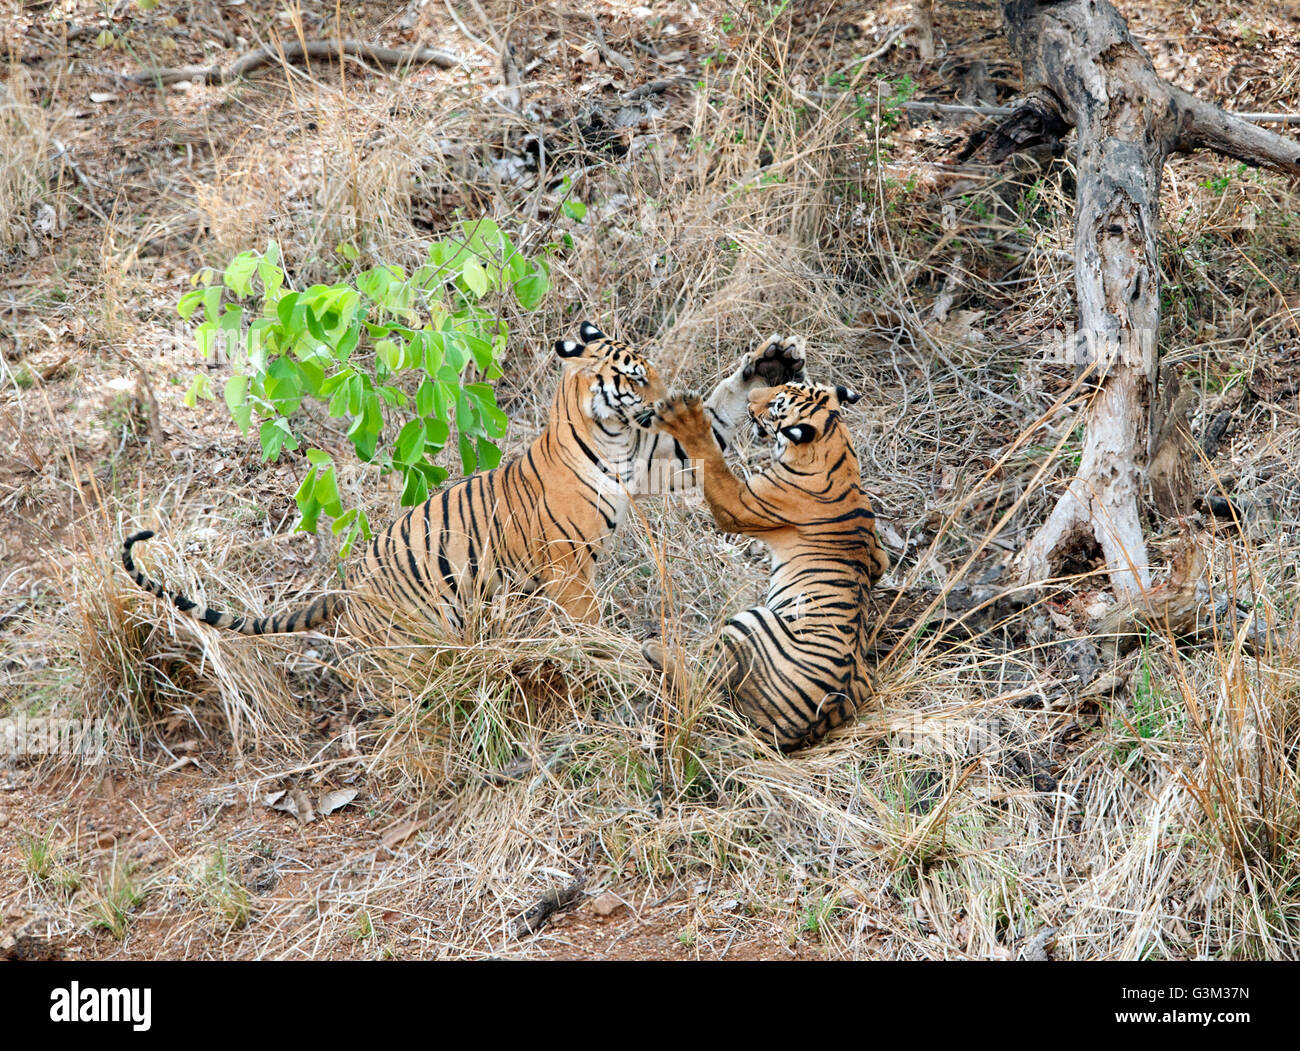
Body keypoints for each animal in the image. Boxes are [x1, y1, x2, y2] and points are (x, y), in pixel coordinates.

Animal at [122, 323, 806, 642]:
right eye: (637, 379)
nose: (665, 399)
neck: (612, 434)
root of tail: (346, 590)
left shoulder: (657, 457)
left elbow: (716, 421)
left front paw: (771, 362)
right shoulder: (567, 565)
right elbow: (587, 618)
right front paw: (610, 655)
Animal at [644, 381, 889, 752]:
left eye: (775, 407)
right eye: (785, 386)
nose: (750, 399)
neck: (834, 440)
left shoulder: (738, 504)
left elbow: (710, 459)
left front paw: (687, 417)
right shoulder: (877, 554)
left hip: (751, 622)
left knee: (707, 689)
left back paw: (654, 651)